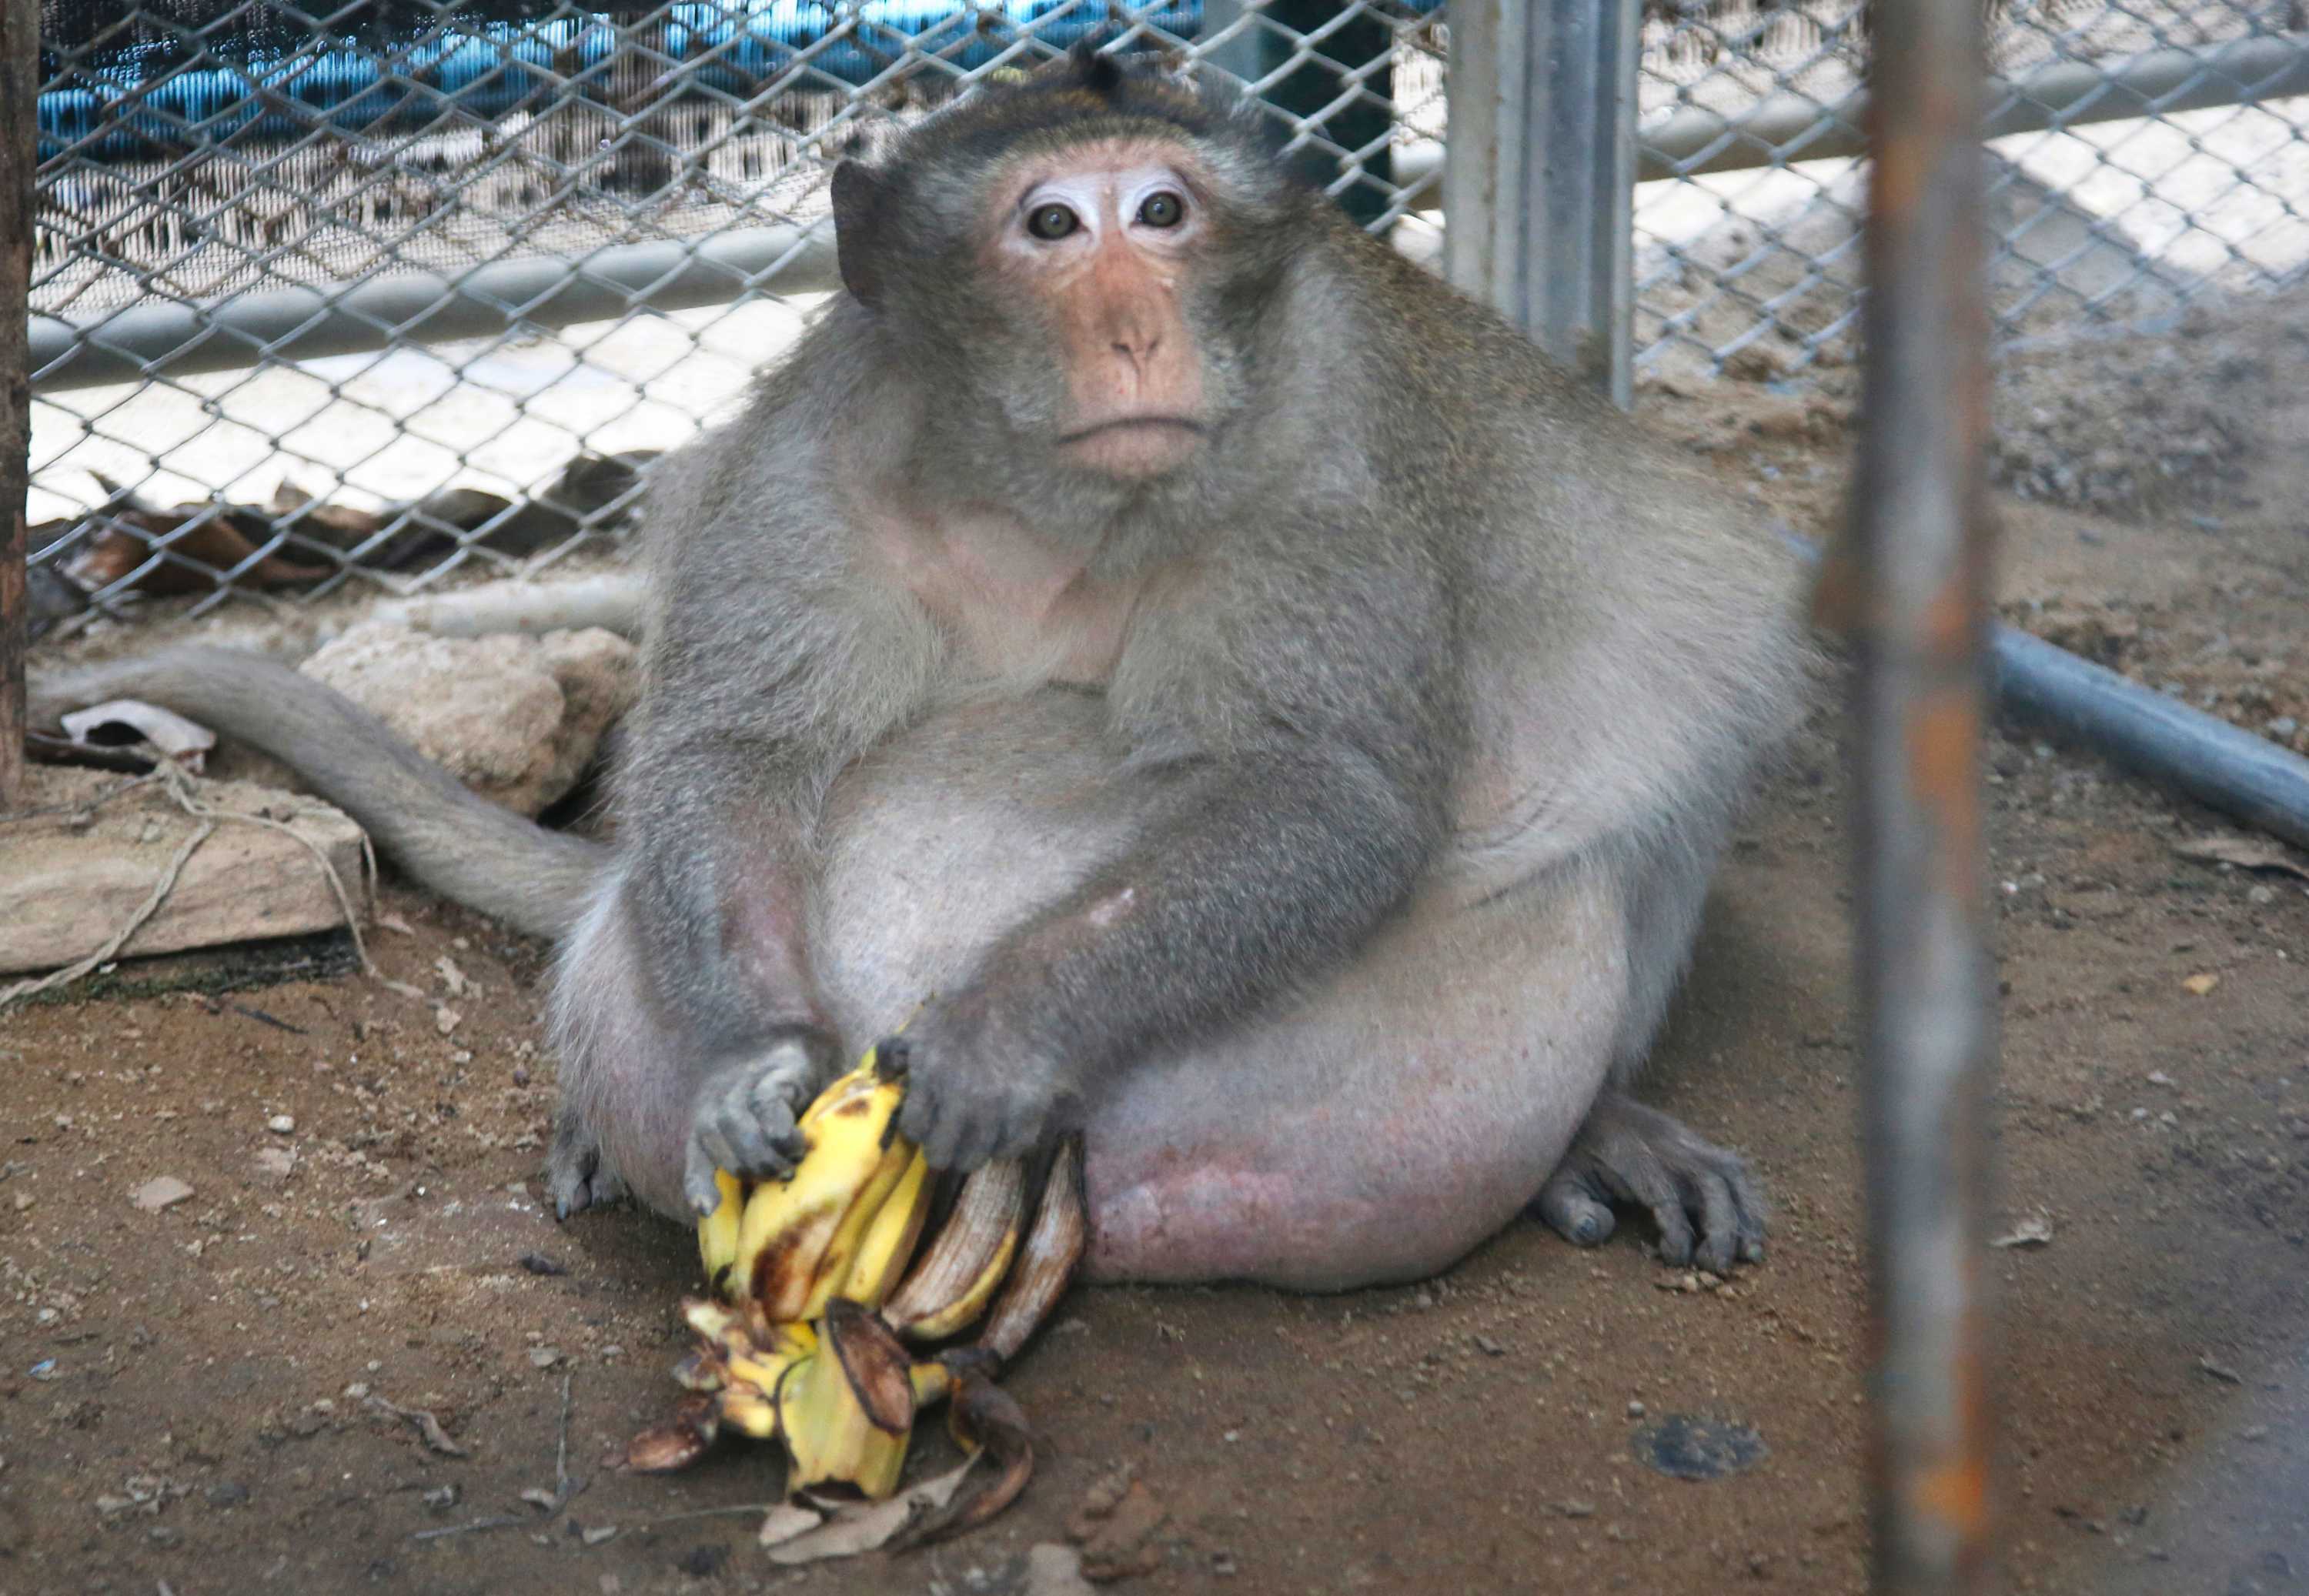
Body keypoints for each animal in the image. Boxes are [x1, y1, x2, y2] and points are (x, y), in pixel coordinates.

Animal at [30, 46, 1814, 1291]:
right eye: (1053, 225)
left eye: (1164, 212)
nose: (1138, 330)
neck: (1046, 500)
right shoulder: (807, 470)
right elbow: (734, 754)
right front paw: (751, 1062)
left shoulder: (1321, 470)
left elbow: (1334, 792)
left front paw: (1003, 1030)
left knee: (1684, 660)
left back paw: (1599, 1121)